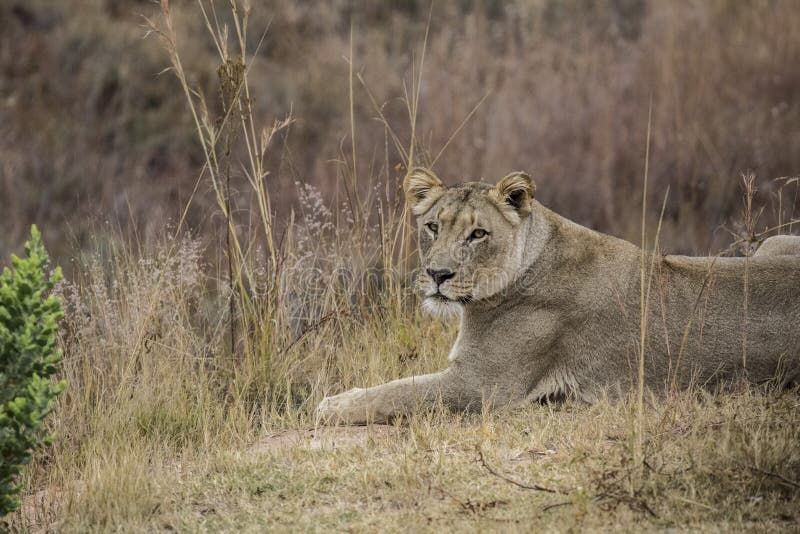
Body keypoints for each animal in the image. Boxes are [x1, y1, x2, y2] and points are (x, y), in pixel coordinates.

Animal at [315, 168, 800, 424]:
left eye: (478, 234)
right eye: (433, 226)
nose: (438, 274)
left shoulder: (482, 385)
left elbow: (399, 392)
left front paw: (333, 404)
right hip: (777, 243)